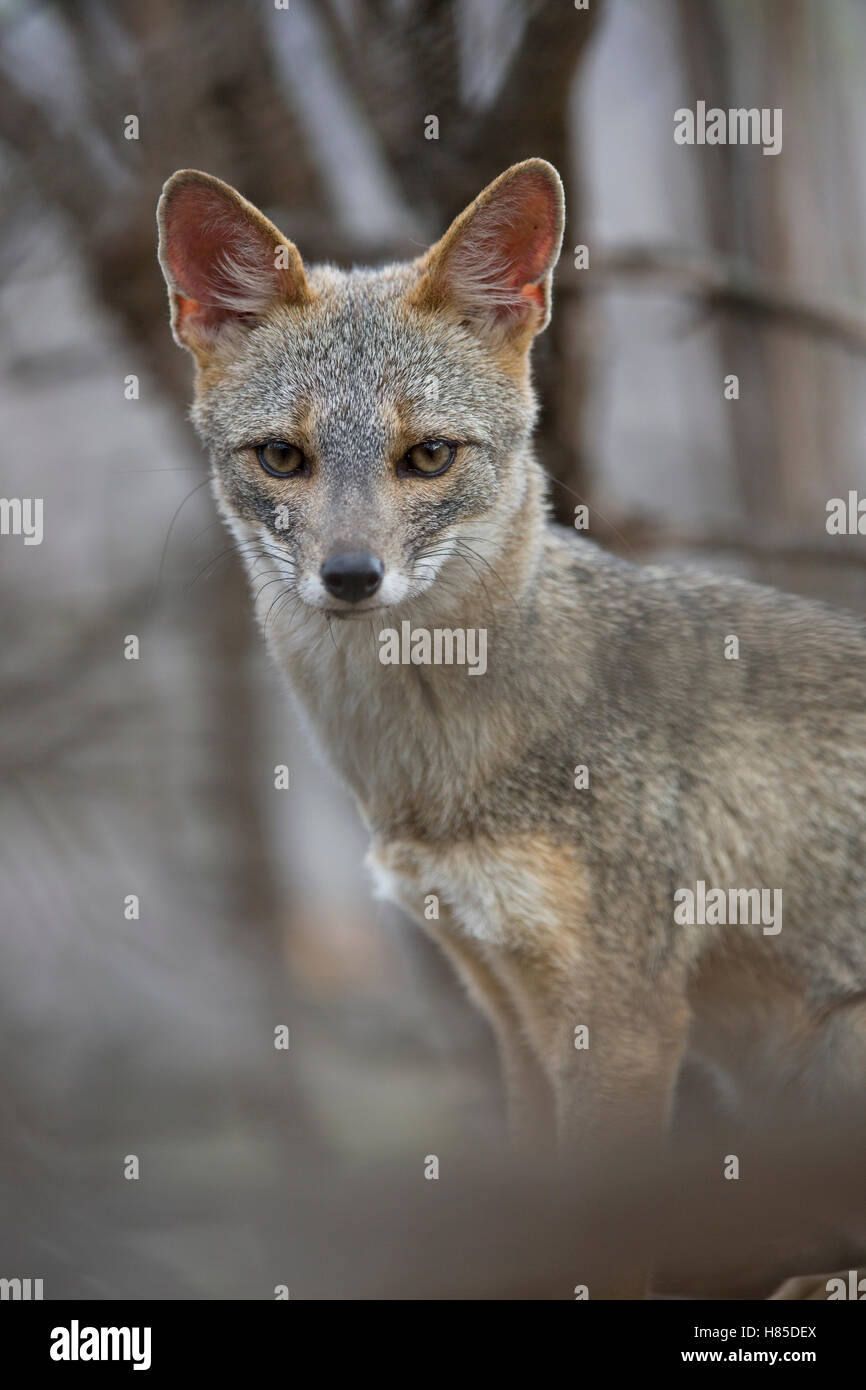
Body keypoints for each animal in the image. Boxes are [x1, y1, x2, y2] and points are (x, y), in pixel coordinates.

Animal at [157, 159, 866, 1288]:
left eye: (427, 457)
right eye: (281, 457)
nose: (349, 577)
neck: (434, 775)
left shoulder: (621, 1017)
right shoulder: (509, 1005)